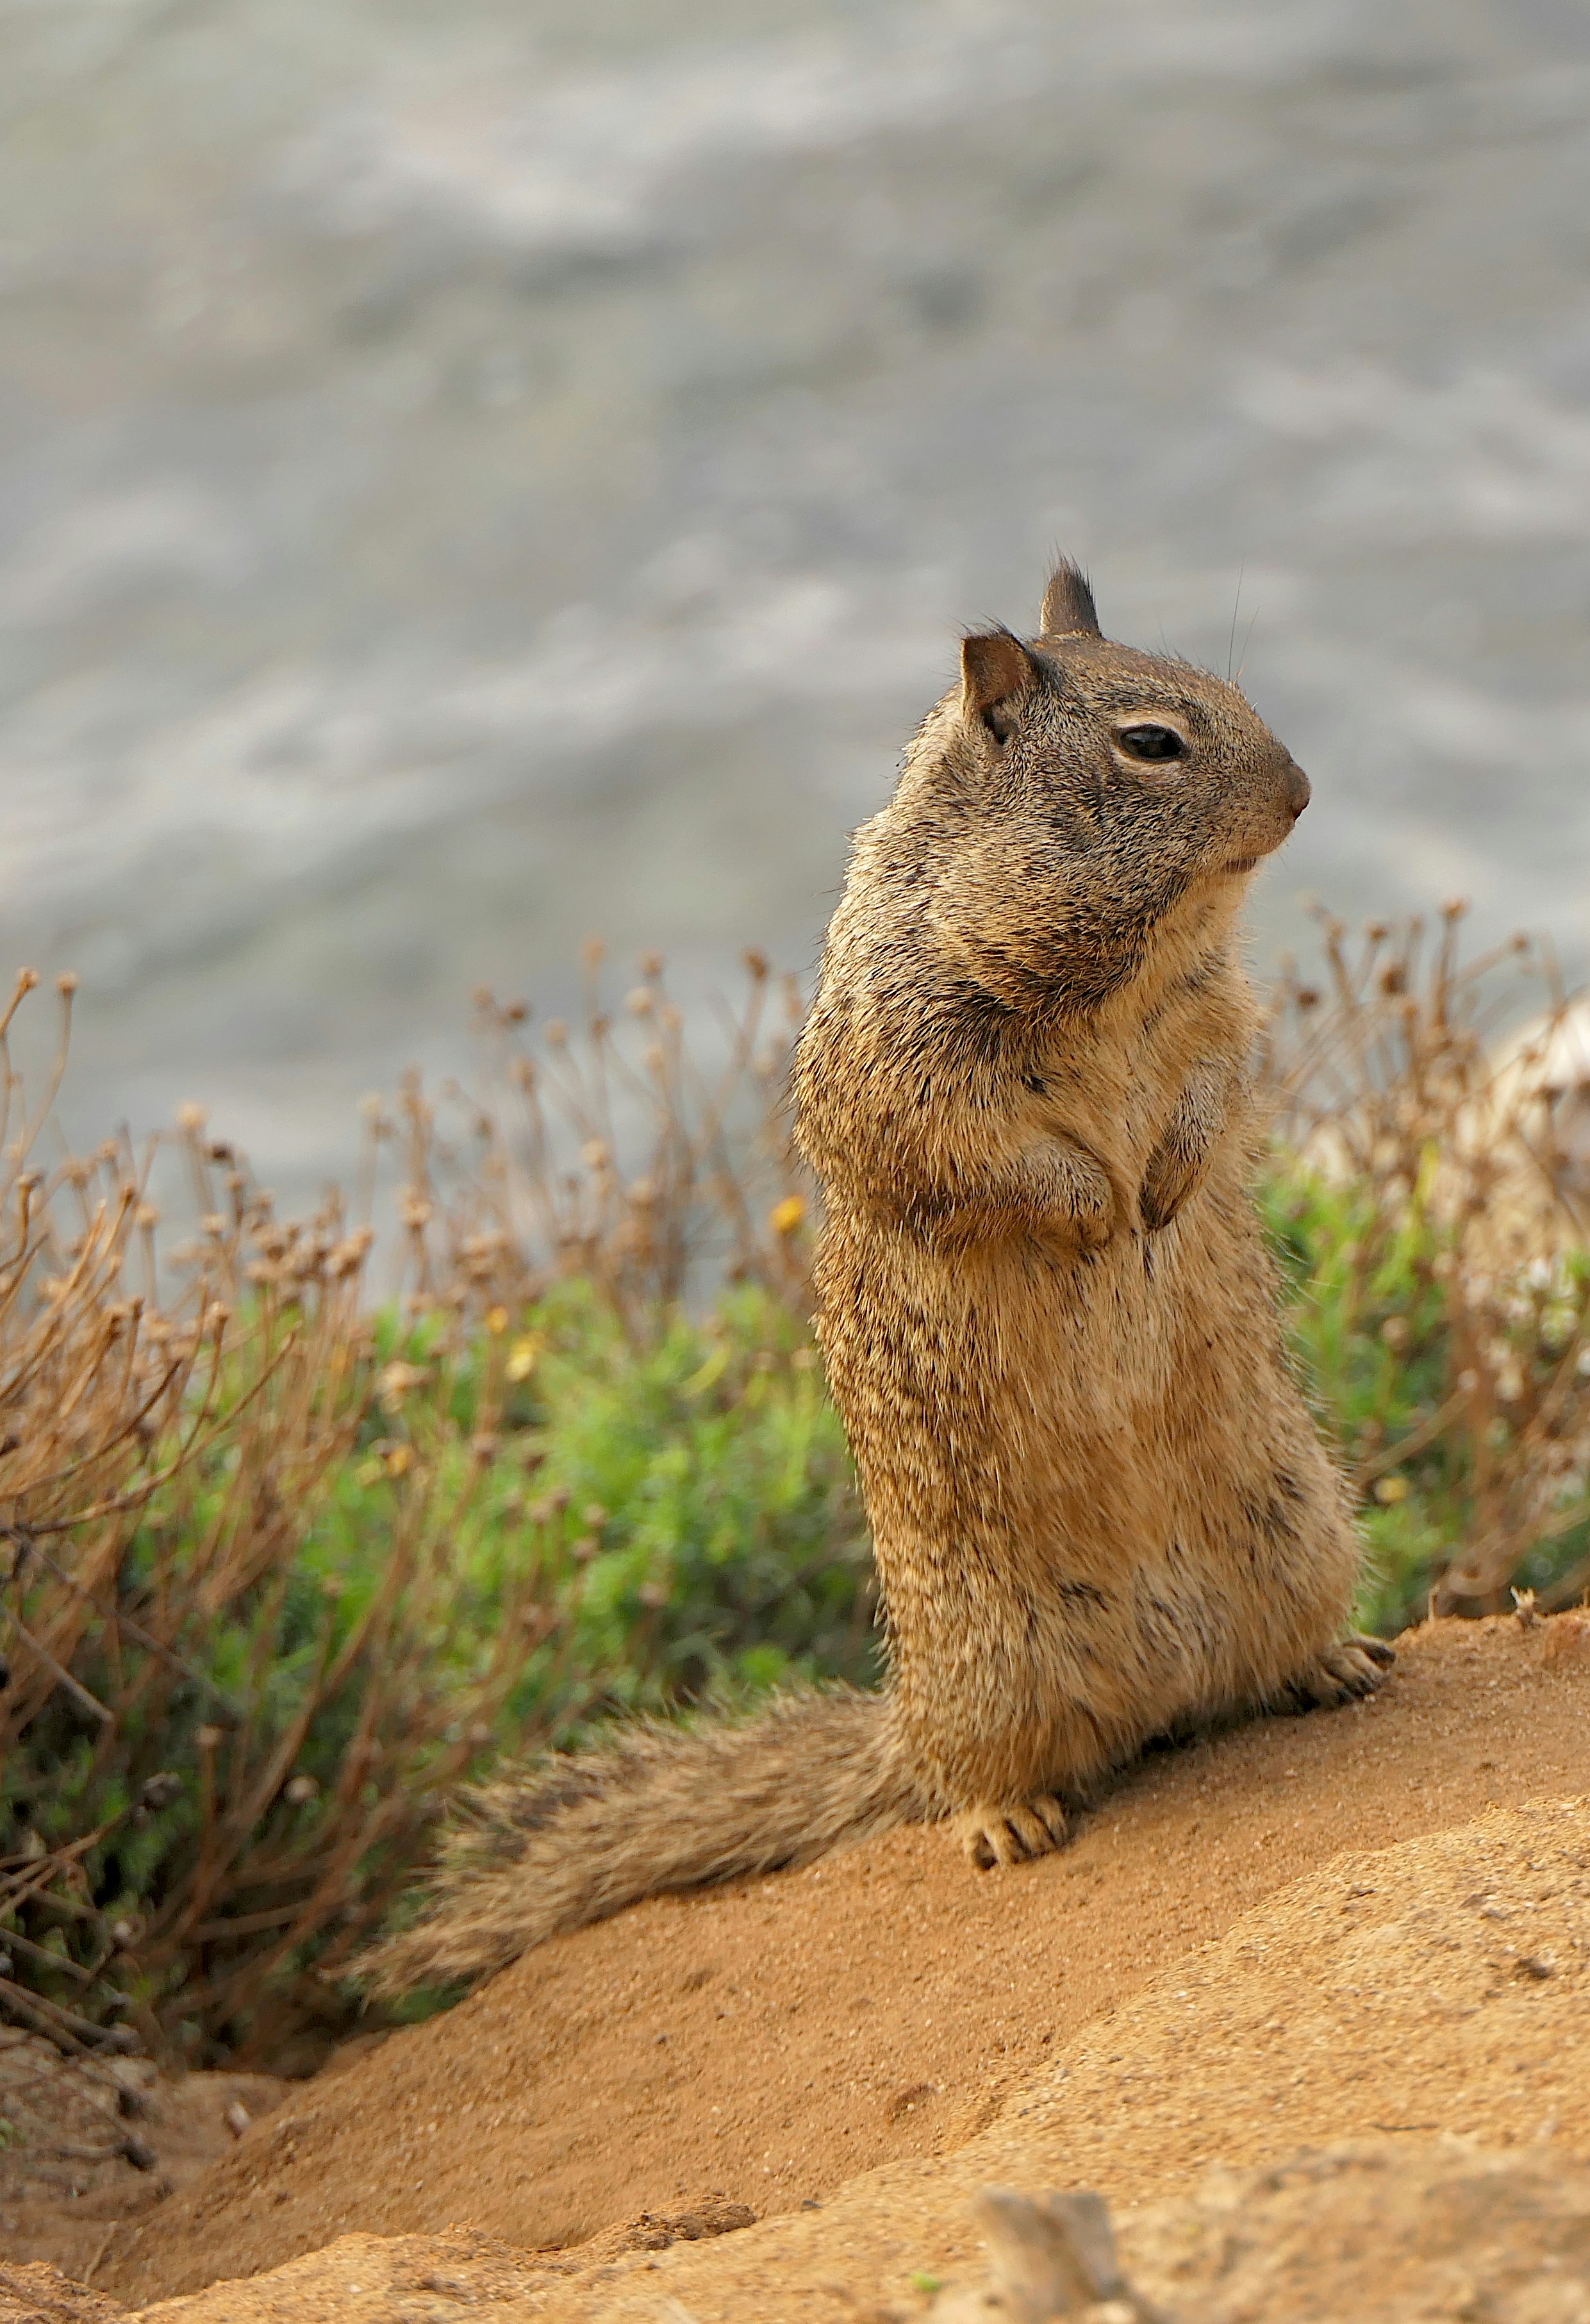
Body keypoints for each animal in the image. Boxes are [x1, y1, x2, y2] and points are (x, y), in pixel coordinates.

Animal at [366, 562, 1391, 1997]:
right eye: (1150, 742)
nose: (1300, 790)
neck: (1121, 964)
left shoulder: (1213, 1012)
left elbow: (1219, 1084)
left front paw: (1165, 1185)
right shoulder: (906, 1070)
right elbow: (973, 1161)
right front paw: (1095, 1214)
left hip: (1302, 1530)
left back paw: (1331, 1663)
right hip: (994, 1662)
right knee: (974, 1782)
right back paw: (1005, 1817)